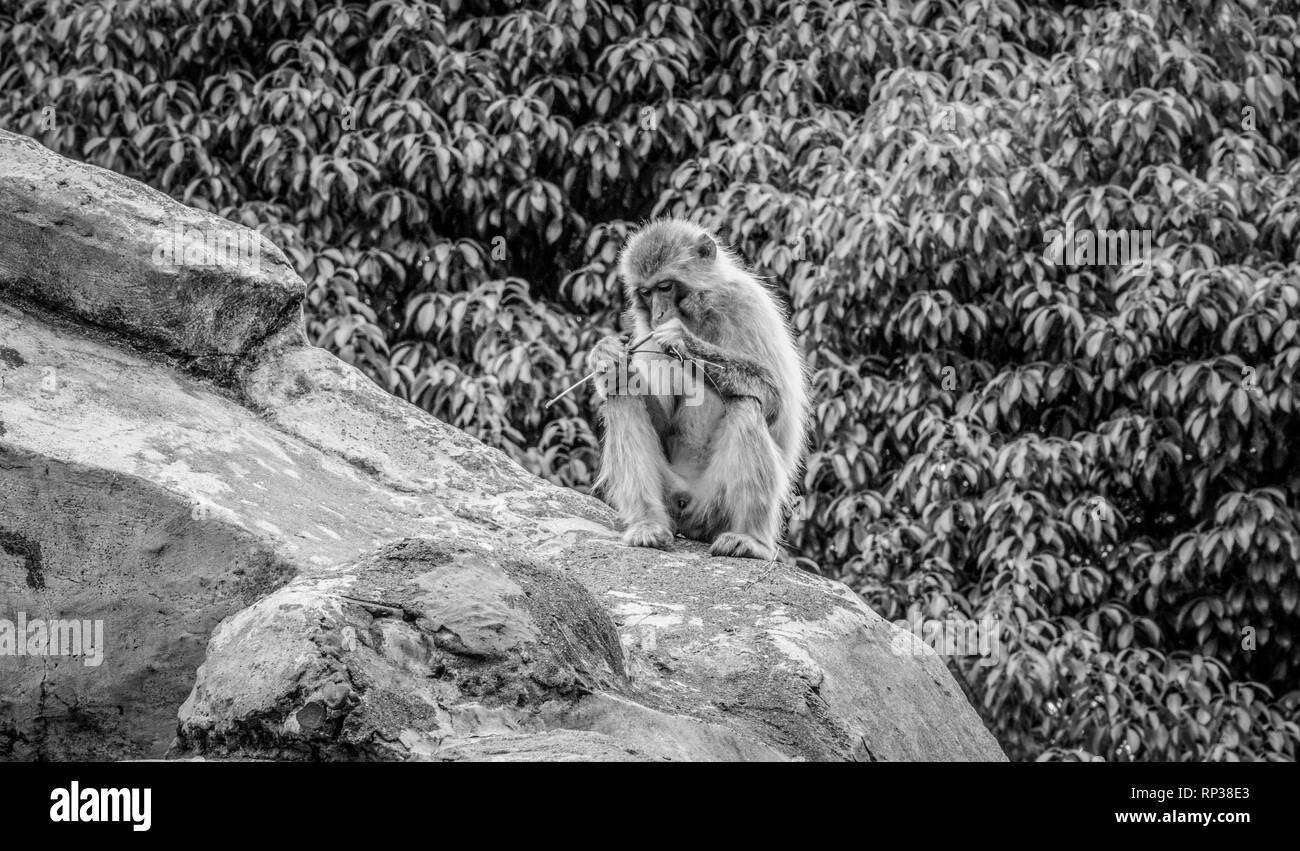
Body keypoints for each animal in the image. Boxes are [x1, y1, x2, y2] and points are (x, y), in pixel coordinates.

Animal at [586, 219, 810, 560]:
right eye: (646, 292)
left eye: (665, 286)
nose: (658, 314)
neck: (700, 314)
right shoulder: (647, 335)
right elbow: (660, 419)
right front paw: (610, 358)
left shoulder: (746, 303)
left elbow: (777, 400)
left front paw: (684, 341)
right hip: (671, 493)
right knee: (622, 396)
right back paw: (648, 524)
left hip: (714, 504)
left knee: (746, 402)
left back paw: (750, 538)